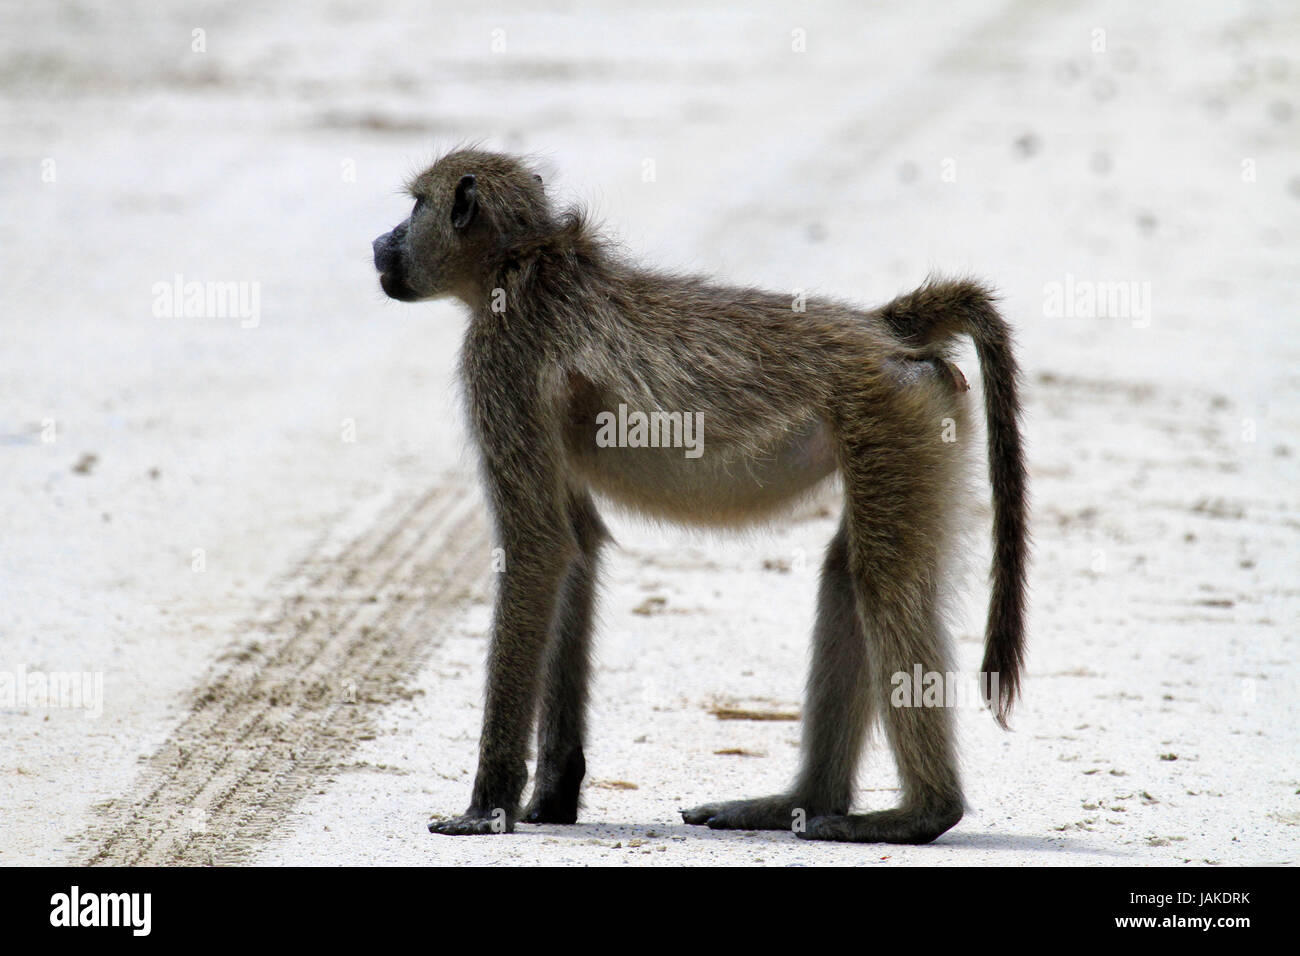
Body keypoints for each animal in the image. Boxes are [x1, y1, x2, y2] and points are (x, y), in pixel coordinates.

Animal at [371, 148, 1028, 844]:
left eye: (416, 205)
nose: (381, 243)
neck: (526, 263)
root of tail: (880, 329)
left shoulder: (498, 365)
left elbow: (537, 549)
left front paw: (486, 808)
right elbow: (576, 546)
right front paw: (552, 796)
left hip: (892, 415)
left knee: (885, 583)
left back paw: (920, 813)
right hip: (916, 421)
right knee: (849, 575)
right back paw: (796, 804)